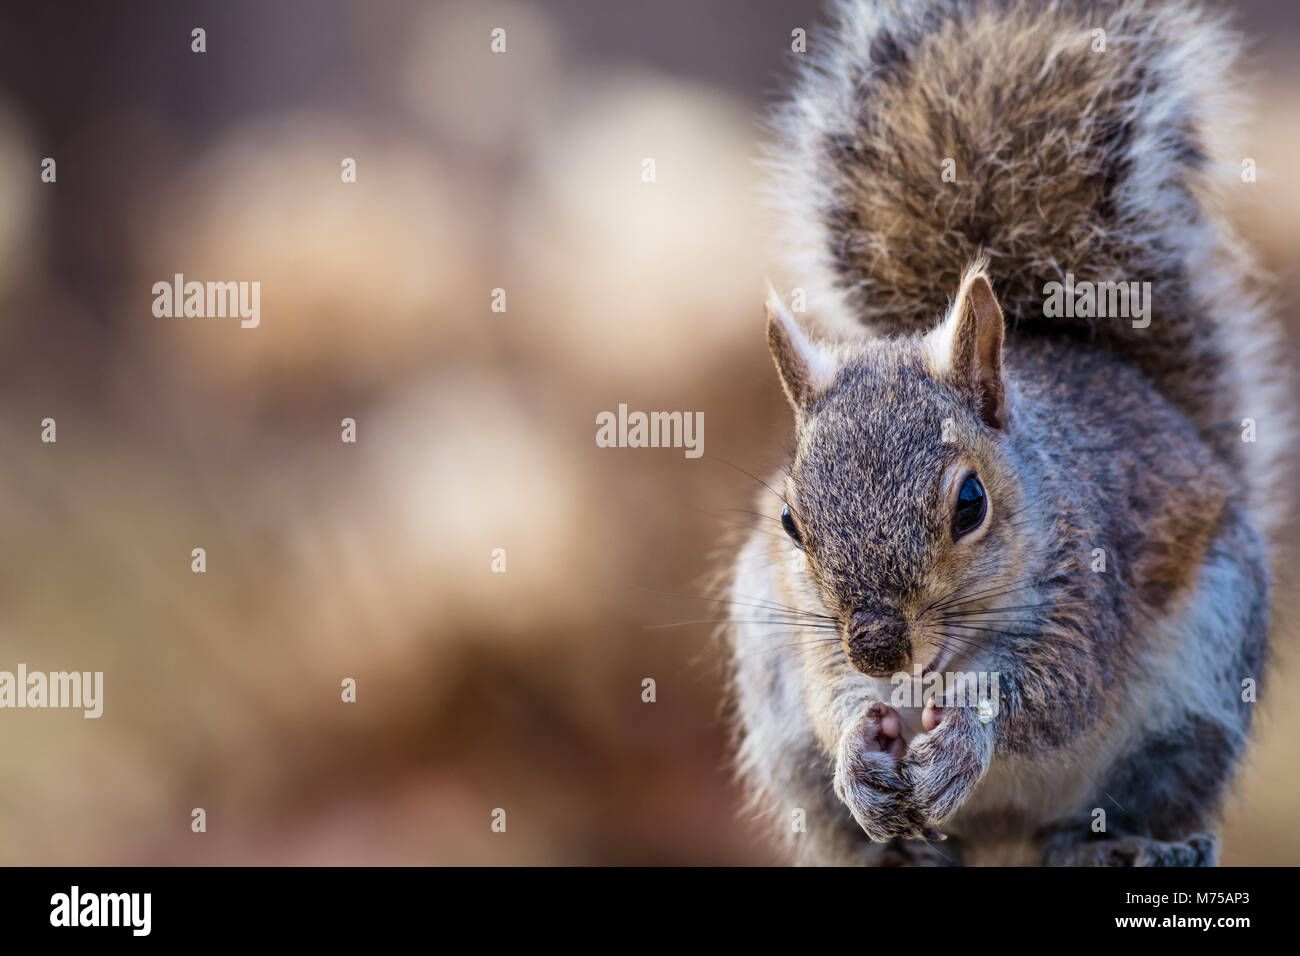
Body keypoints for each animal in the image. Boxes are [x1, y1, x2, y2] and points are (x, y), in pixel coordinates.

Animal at [726, 0, 1290, 866]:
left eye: (970, 504)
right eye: (789, 520)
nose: (879, 648)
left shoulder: (1093, 583)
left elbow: (1056, 692)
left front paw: (965, 733)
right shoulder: (809, 638)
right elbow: (834, 697)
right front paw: (858, 743)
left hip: (1199, 693)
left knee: (1112, 809)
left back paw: (1116, 844)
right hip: (772, 688)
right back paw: (899, 847)